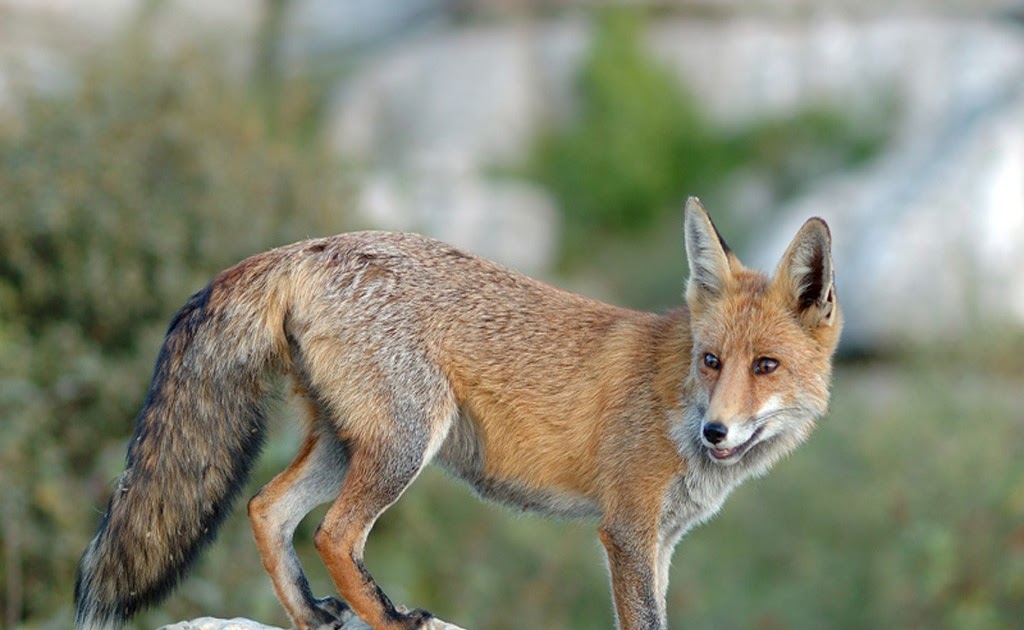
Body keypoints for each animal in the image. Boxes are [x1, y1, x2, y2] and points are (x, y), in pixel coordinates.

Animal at [75, 197, 841, 630]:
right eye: (712, 361)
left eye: (765, 366)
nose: (716, 430)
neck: (673, 392)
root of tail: (309, 246)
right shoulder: (626, 533)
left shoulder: (661, 543)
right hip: (408, 441)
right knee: (333, 534)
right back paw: (389, 620)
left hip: (349, 445)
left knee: (266, 507)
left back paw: (309, 615)